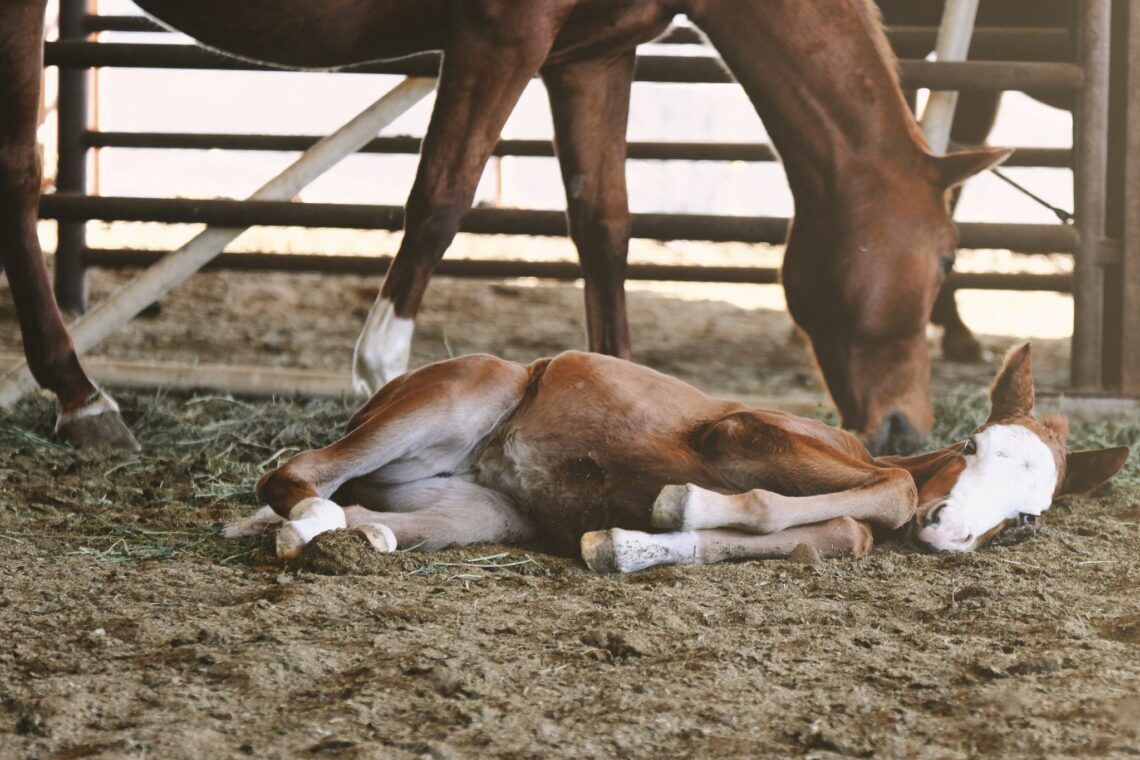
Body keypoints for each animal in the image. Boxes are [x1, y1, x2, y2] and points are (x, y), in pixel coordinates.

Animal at [1, 0, 1009, 453]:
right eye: (945, 259)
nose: (906, 431)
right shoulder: (500, 36)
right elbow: (441, 199)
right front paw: (381, 376)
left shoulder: (592, 55)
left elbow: (604, 224)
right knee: (19, 180)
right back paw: (81, 398)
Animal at [224, 343, 1127, 572]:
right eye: (973, 443)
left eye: (1028, 518)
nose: (950, 531)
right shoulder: (740, 434)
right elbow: (895, 485)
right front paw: (678, 505)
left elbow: (848, 530)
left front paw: (626, 545)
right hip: (450, 398)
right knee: (295, 469)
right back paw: (307, 518)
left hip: (479, 513)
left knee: (361, 510)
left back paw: (337, 536)